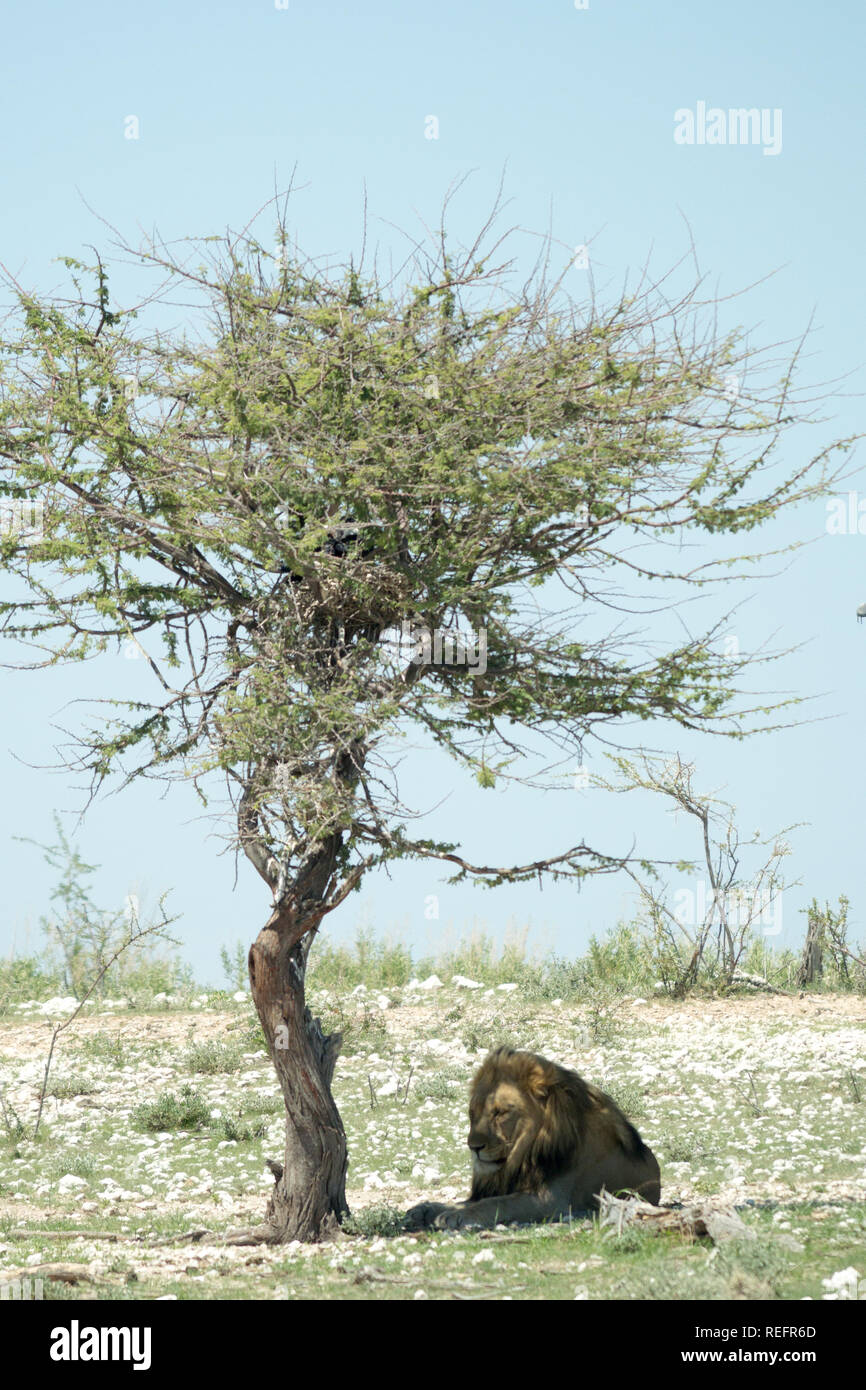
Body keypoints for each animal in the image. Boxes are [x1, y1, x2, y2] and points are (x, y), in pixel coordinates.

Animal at [404, 1047, 661, 1230]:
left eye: (500, 1112)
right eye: (472, 1113)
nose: (473, 1147)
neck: (525, 1154)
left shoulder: (551, 1199)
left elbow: (497, 1203)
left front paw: (455, 1216)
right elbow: (466, 1200)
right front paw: (426, 1208)